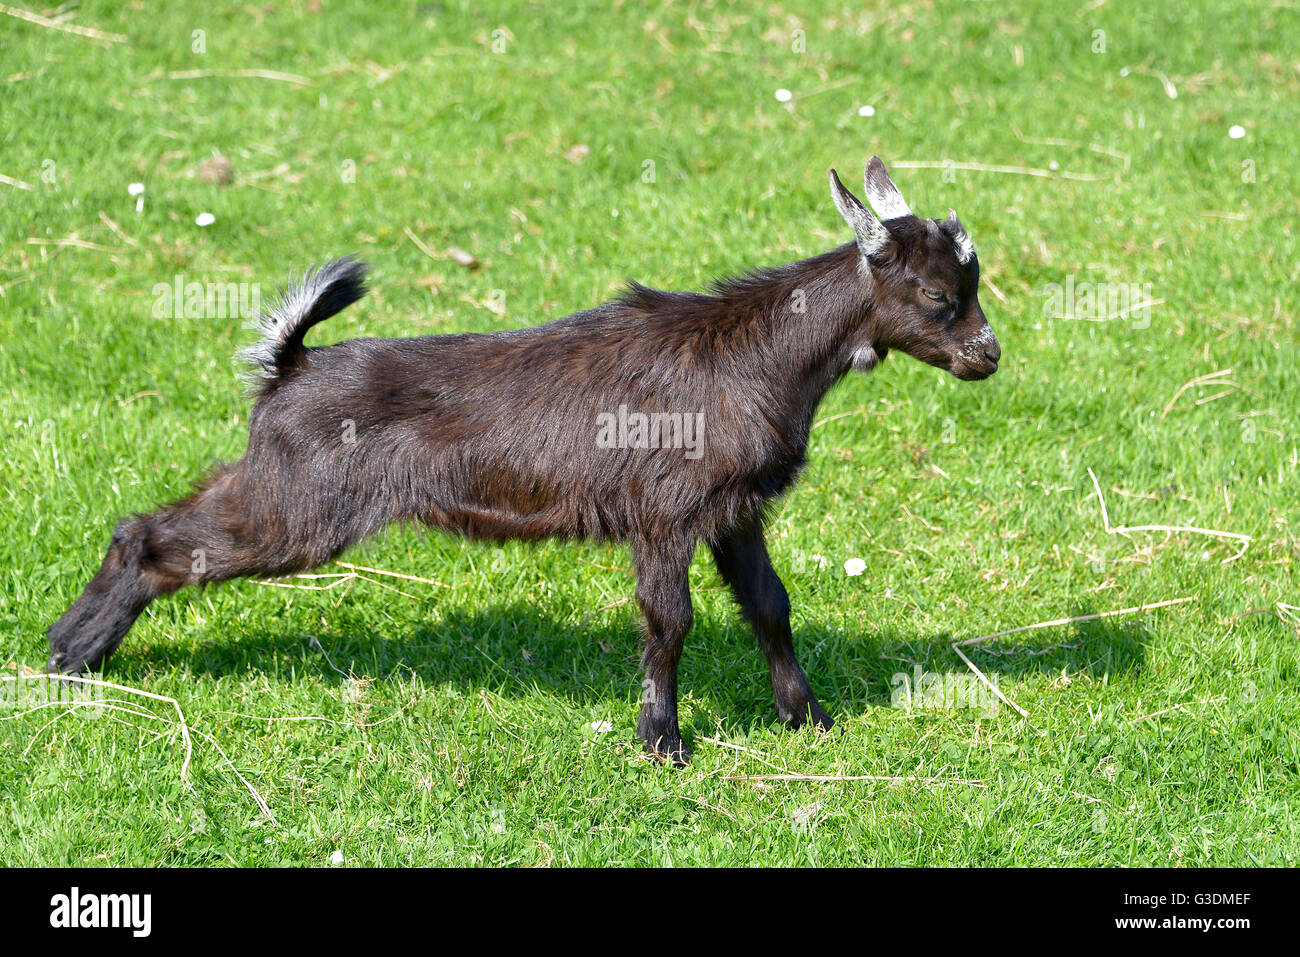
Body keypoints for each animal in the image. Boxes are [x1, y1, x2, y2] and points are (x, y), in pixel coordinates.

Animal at [47, 156, 1000, 765]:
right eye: (936, 293)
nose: (988, 356)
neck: (757, 355)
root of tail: (290, 365)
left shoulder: (734, 511)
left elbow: (770, 605)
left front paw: (810, 720)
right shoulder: (663, 513)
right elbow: (670, 621)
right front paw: (662, 741)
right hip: (296, 507)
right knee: (152, 534)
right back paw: (71, 652)